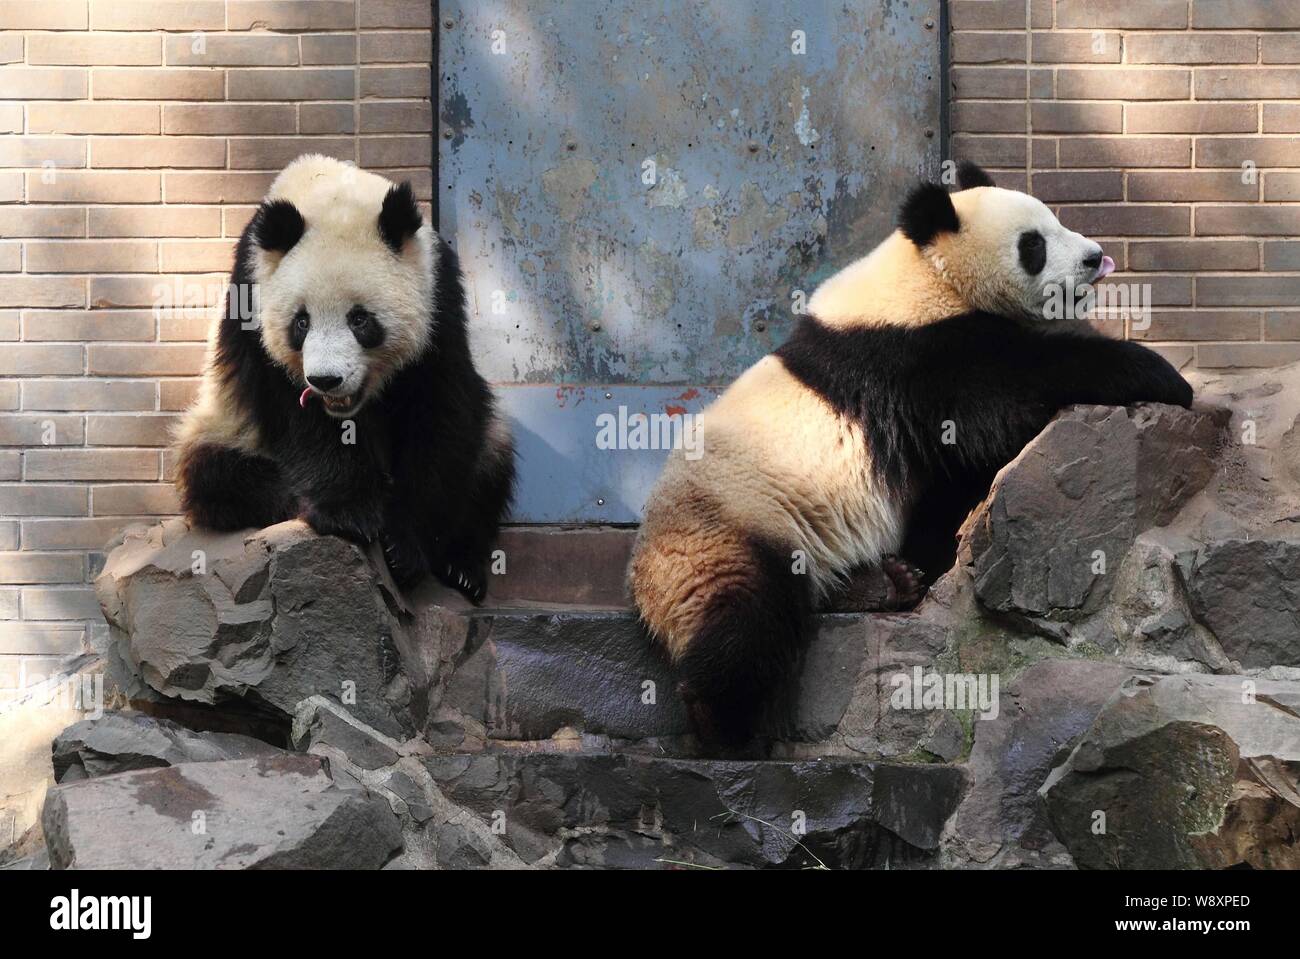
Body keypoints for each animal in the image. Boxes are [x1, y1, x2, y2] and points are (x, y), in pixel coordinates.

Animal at [175, 154, 515, 602]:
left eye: (360, 320)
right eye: (301, 322)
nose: (325, 380)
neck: (331, 194)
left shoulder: (438, 295)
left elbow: (440, 408)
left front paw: (405, 546)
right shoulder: (252, 295)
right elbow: (297, 416)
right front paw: (349, 513)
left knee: (489, 460)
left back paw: (463, 568)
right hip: (223, 423)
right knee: (219, 474)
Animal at [628, 161, 1193, 751]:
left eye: (1055, 221)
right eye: (1033, 244)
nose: (1093, 257)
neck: (927, 274)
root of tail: (642, 581)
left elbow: (951, 483)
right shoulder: (909, 356)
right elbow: (1001, 398)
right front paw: (1162, 375)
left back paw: (886, 583)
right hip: (729, 526)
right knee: (747, 623)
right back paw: (727, 731)